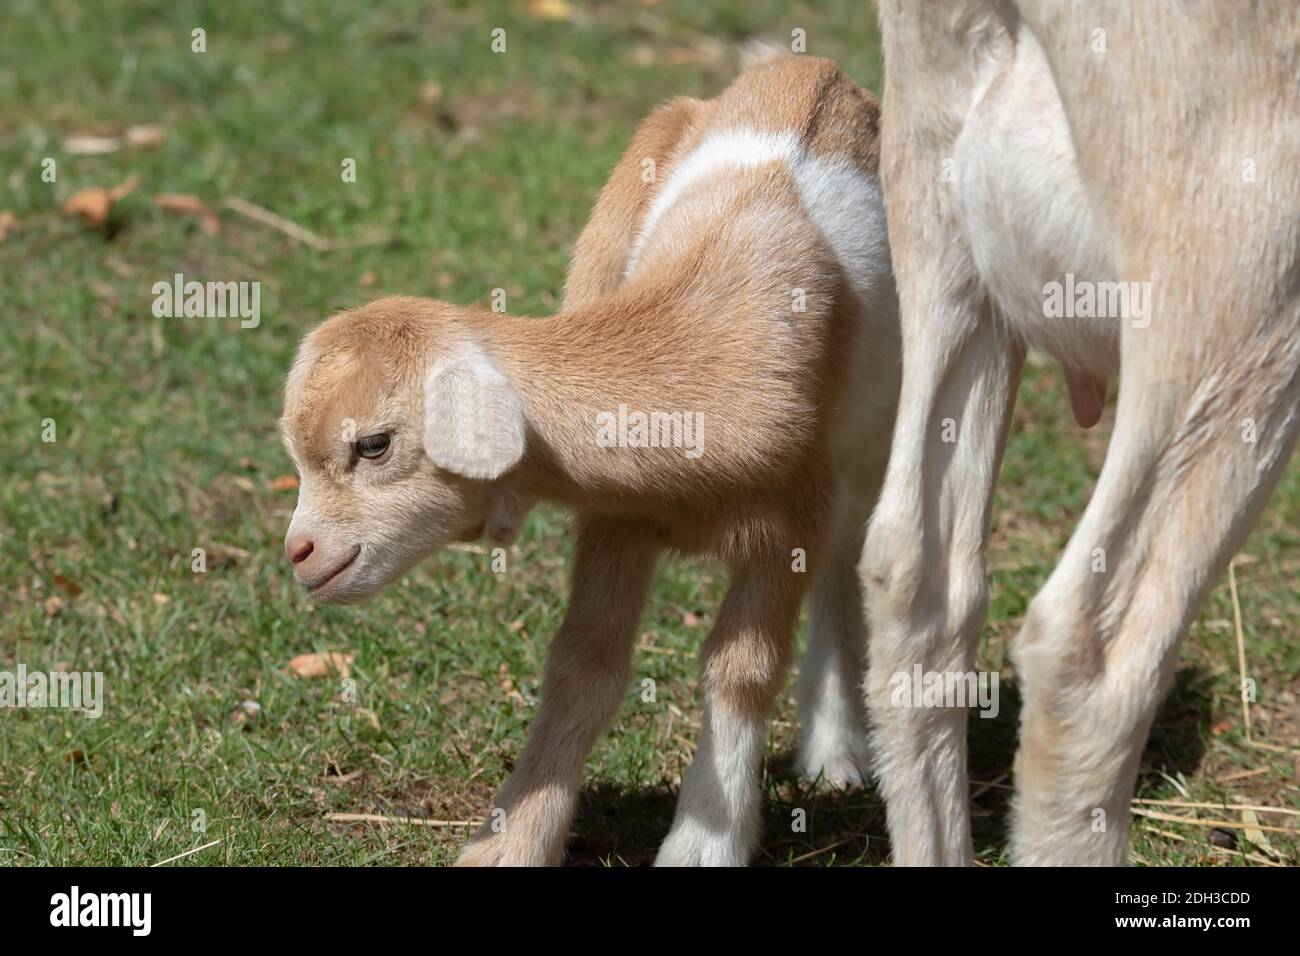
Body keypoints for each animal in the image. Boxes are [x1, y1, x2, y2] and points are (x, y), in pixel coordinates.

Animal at [279, 54, 899, 865]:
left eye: (373, 444)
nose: (298, 552)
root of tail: (809, 65)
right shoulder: (617, 515)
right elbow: (583, 668)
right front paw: (509, 843)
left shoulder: (790, 523)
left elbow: (740, 671)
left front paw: (704, 842)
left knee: (850, 554)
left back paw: (836, 752)